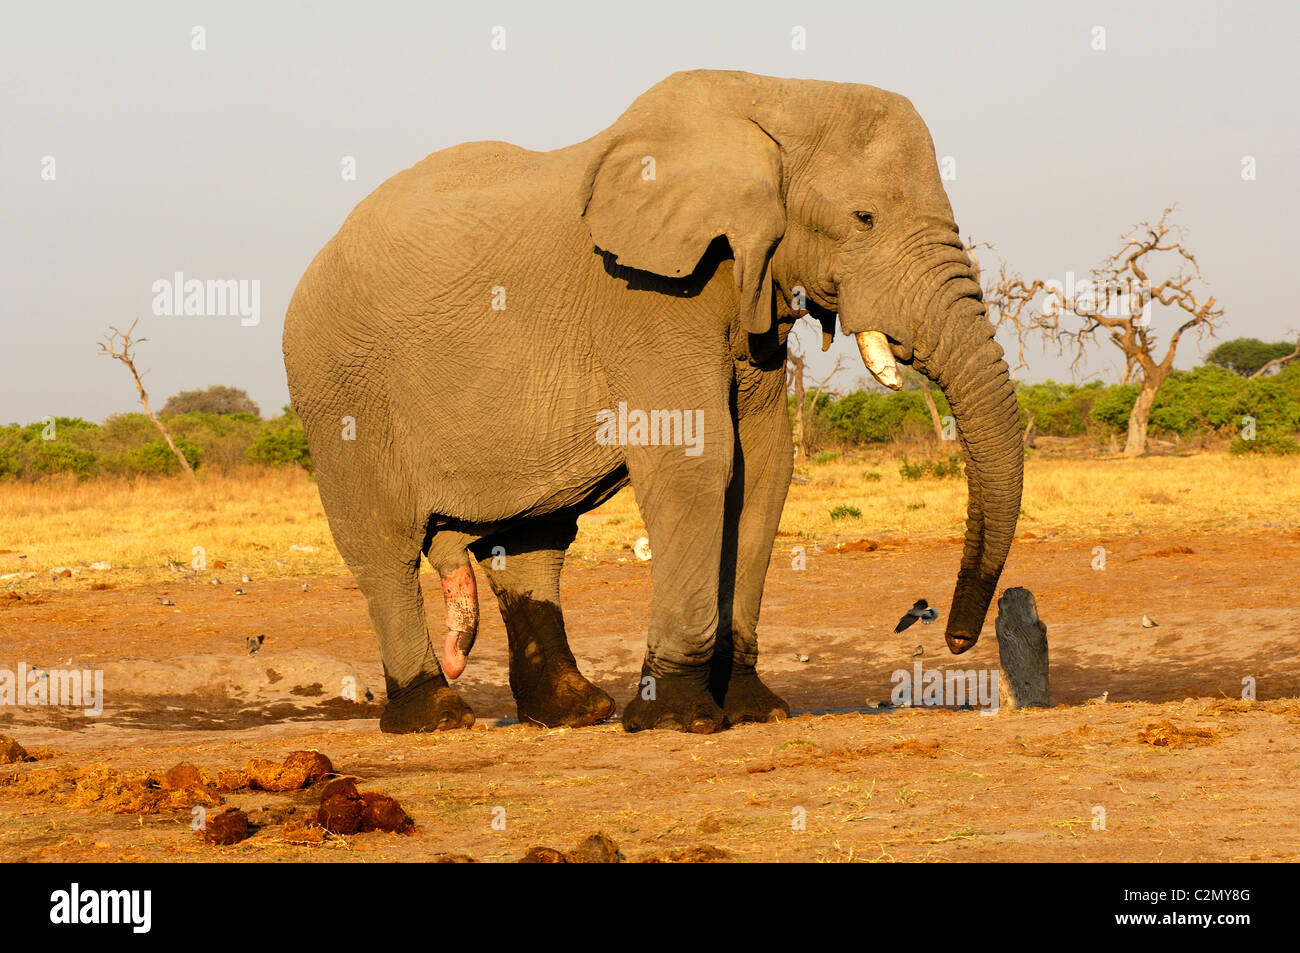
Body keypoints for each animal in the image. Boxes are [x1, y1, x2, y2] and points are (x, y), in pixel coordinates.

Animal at [282, 70, 1023, 734]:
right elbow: (695, 459)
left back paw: (575, 711)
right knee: (383, 548)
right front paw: (678, 716)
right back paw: (434, 717)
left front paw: (755, 710)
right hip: (336, 385)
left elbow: (763, 469)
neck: (775, 95)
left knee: (533, 541)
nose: (956, 638)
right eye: (863, 218)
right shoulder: (643, 293)